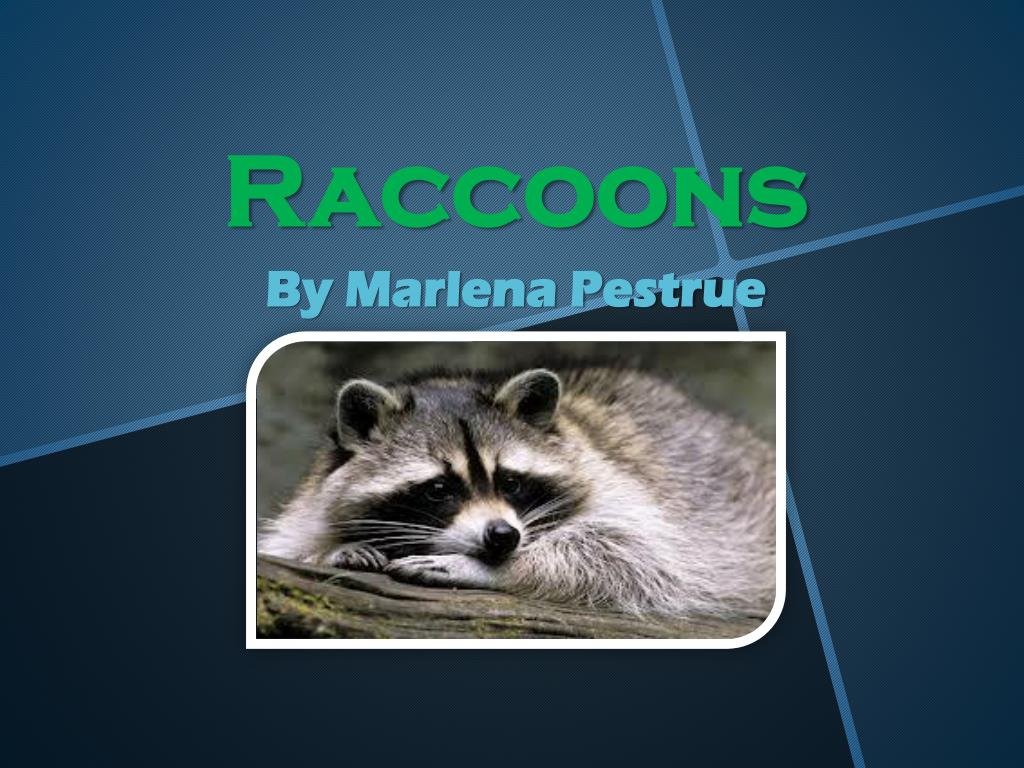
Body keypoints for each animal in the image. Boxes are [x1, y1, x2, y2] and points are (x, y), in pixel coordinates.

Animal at [258, 366, 776, 617]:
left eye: (510, 481)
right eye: (439, 488)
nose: (502, 537)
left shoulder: (625, 488)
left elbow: (637, 559)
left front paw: (490, 568)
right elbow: (287, 543)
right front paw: (331, 550)